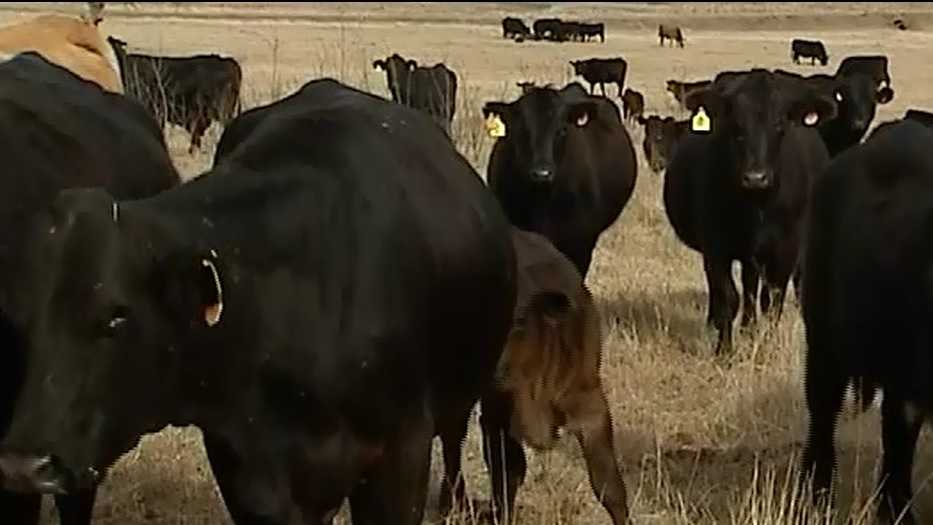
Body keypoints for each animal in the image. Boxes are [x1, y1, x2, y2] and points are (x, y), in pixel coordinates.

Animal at [663, 69, 837, 354]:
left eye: (780, 123)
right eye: (735, 125)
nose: (756, 178)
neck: (757, 206)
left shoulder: (786, 246)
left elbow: (772, 298)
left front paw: (766, 345)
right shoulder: (716, 246)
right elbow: (727, 297)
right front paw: (724, 352)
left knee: (754, 289)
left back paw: (750, 329)